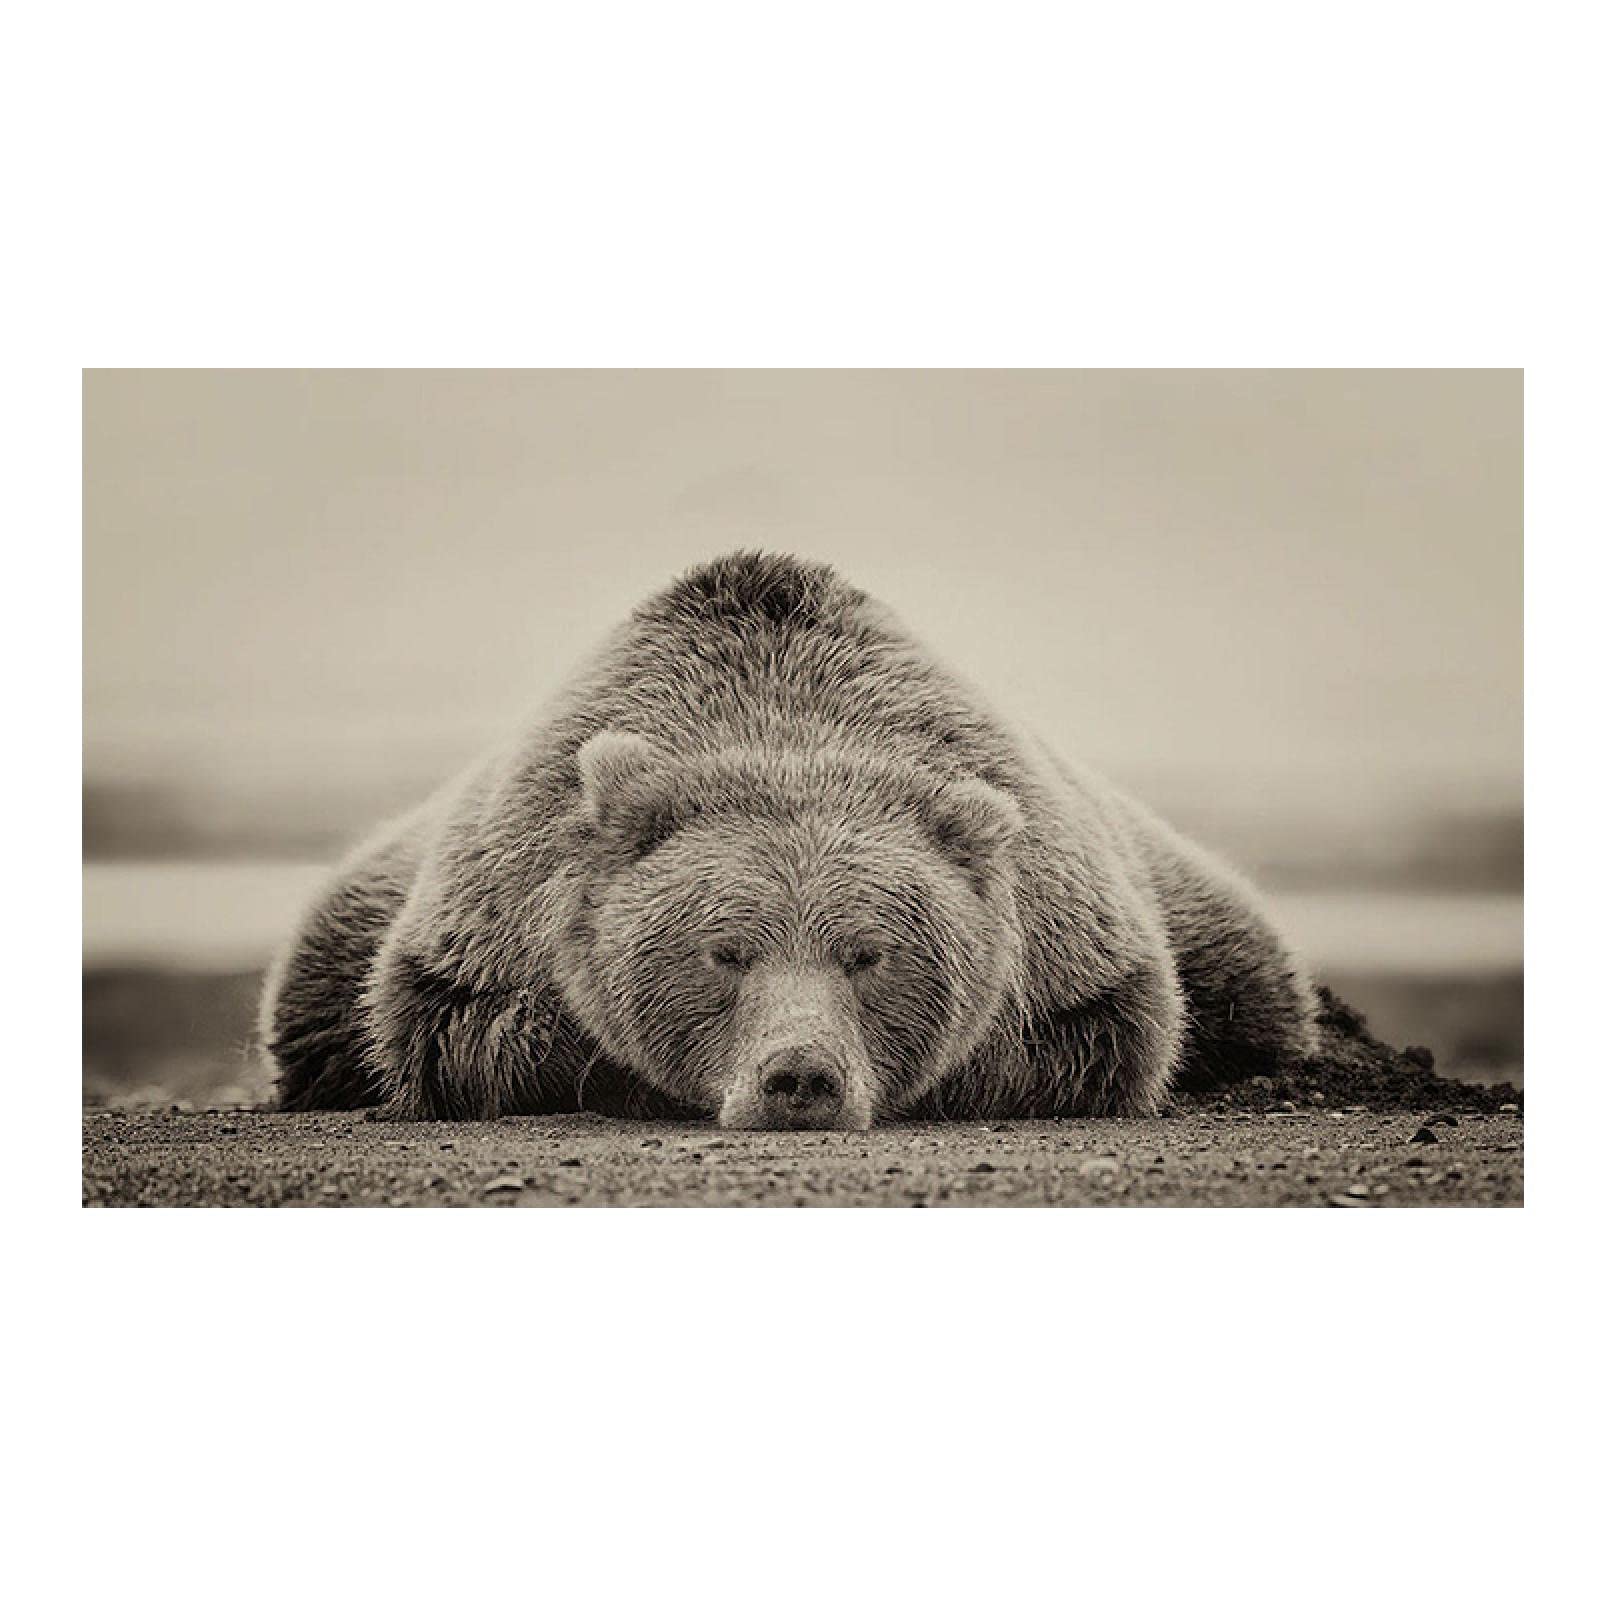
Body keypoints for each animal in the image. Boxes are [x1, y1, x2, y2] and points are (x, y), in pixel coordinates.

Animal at [262, 550, 1319, 1127]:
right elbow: (457, 1032)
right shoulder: (491, 917)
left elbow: (1102, 1035)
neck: (784, 724)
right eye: (725, 951)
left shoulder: (1074, 939)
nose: (799, 1077)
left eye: (869, 954)